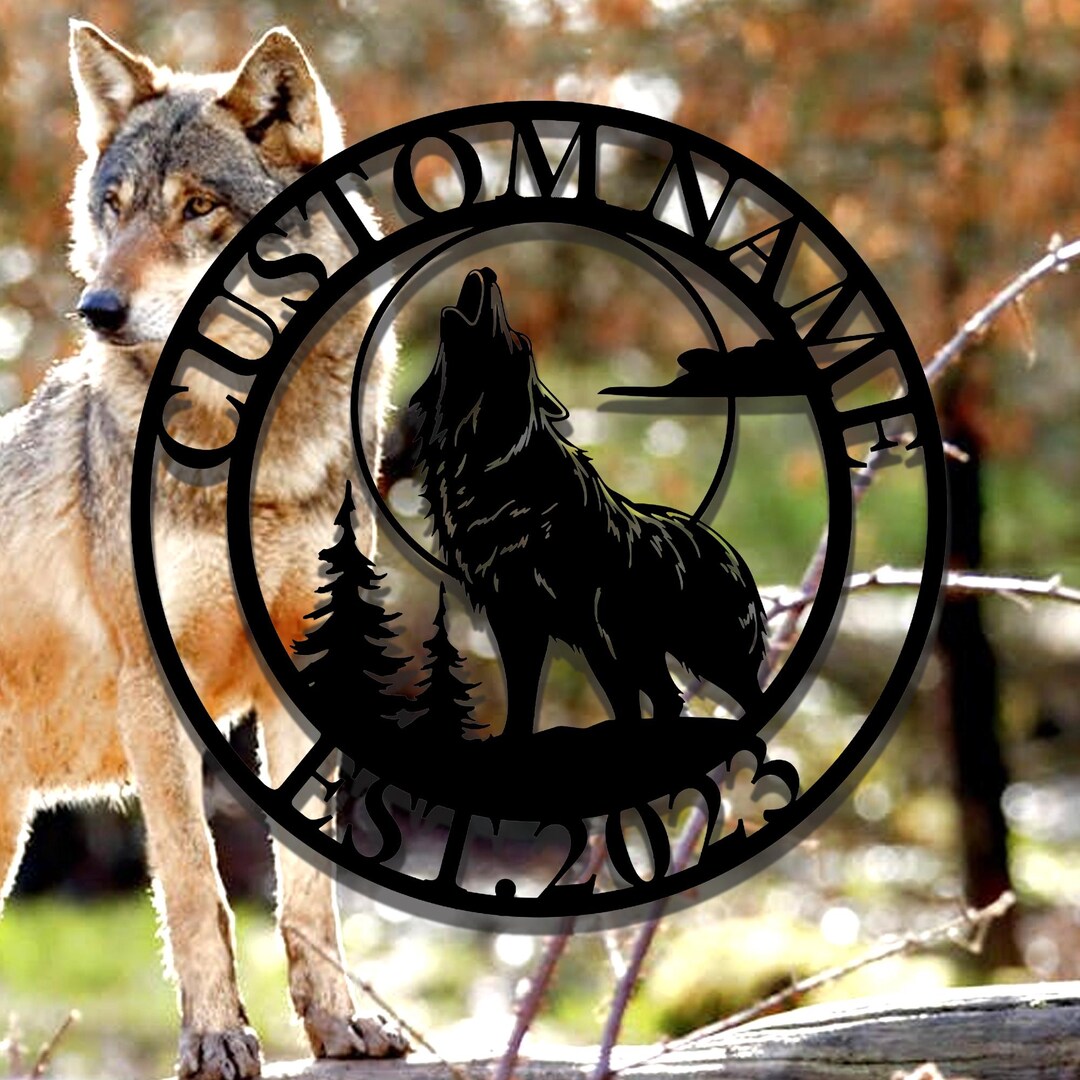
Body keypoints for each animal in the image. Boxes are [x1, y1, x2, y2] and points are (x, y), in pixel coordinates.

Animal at [0, 22, 407, 1080]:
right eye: (114, 209)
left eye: (198, 208)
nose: (98, 310)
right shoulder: (152, 687)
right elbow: (195, 887)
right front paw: (217, 1037)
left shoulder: (308, 671)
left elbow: (308, 894)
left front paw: (340, 1027)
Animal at [410, 267, 768, 740]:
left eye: (519, 339)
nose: (487, 272)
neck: (490, 464)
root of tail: (737, 559)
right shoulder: (515, 616)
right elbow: (523, 692)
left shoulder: (593, 626)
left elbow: (620, 701)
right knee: (669, 699)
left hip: (695, 650)